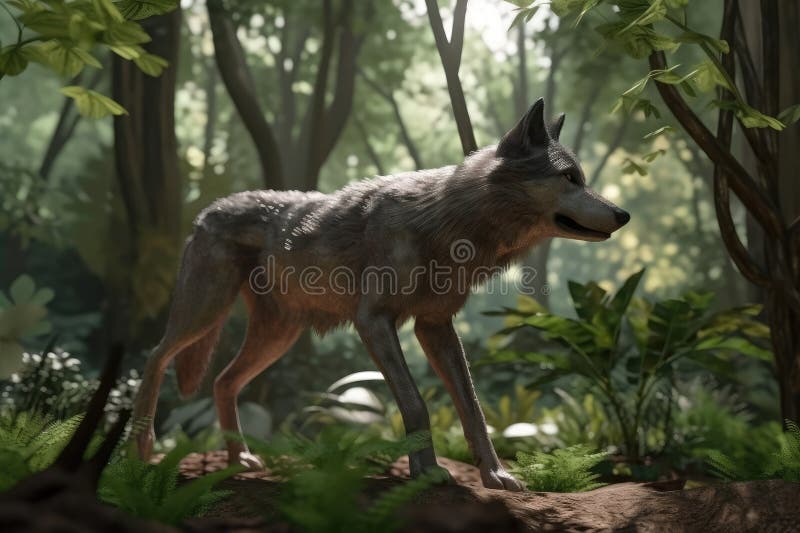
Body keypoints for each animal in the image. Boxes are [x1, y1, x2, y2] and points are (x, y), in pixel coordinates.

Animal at [132, 98, 629, 491]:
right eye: (569, 177)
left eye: (582, 177)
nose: (623, 214)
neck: (450, 222)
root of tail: (206, 210)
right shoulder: (374, 322)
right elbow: (416, 402)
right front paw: (425, 472)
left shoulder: (435, 327)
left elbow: (472, 410)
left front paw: (496, 476)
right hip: (207, 313)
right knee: (154, 356)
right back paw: (141, 448)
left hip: (277, 336)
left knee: (222, 381)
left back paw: (238, 460)